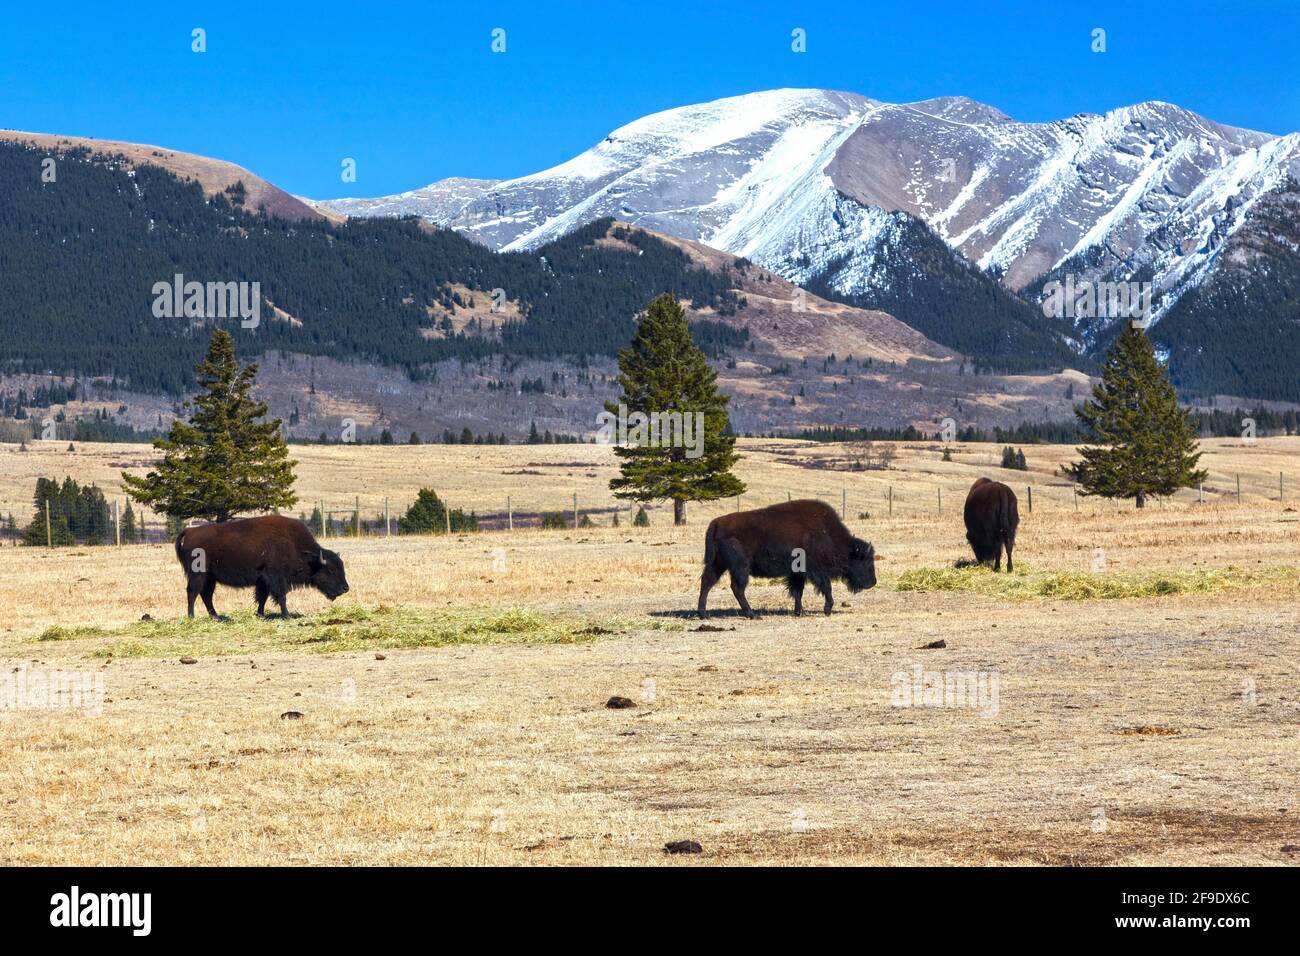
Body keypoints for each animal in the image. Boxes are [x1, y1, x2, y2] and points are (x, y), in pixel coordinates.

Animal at [174, 515, 349, 618]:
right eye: (331, 570)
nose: (345, 588)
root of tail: (189, 531)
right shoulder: (276, 578)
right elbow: (281, 596)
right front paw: (287, 616)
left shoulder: (263, 581)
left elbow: (262, 598)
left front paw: (261, 614)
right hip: (198, 575)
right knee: (193, 592)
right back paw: (192, 616)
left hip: (210, 578)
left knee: (206, 595)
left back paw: (216, 617)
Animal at [698, 499, 876, 618]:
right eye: (863, 560)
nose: (872, 582)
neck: (827, 534)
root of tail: (716, 524)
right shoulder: (816, 571)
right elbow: (826, 587)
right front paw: (827, 609)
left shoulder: (798, 573)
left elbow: (798, 591)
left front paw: (798, 612)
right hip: (741, 568)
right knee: (737, 588)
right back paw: (752, 614)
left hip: (718, 564)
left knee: (707, 583)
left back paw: (703, 614)